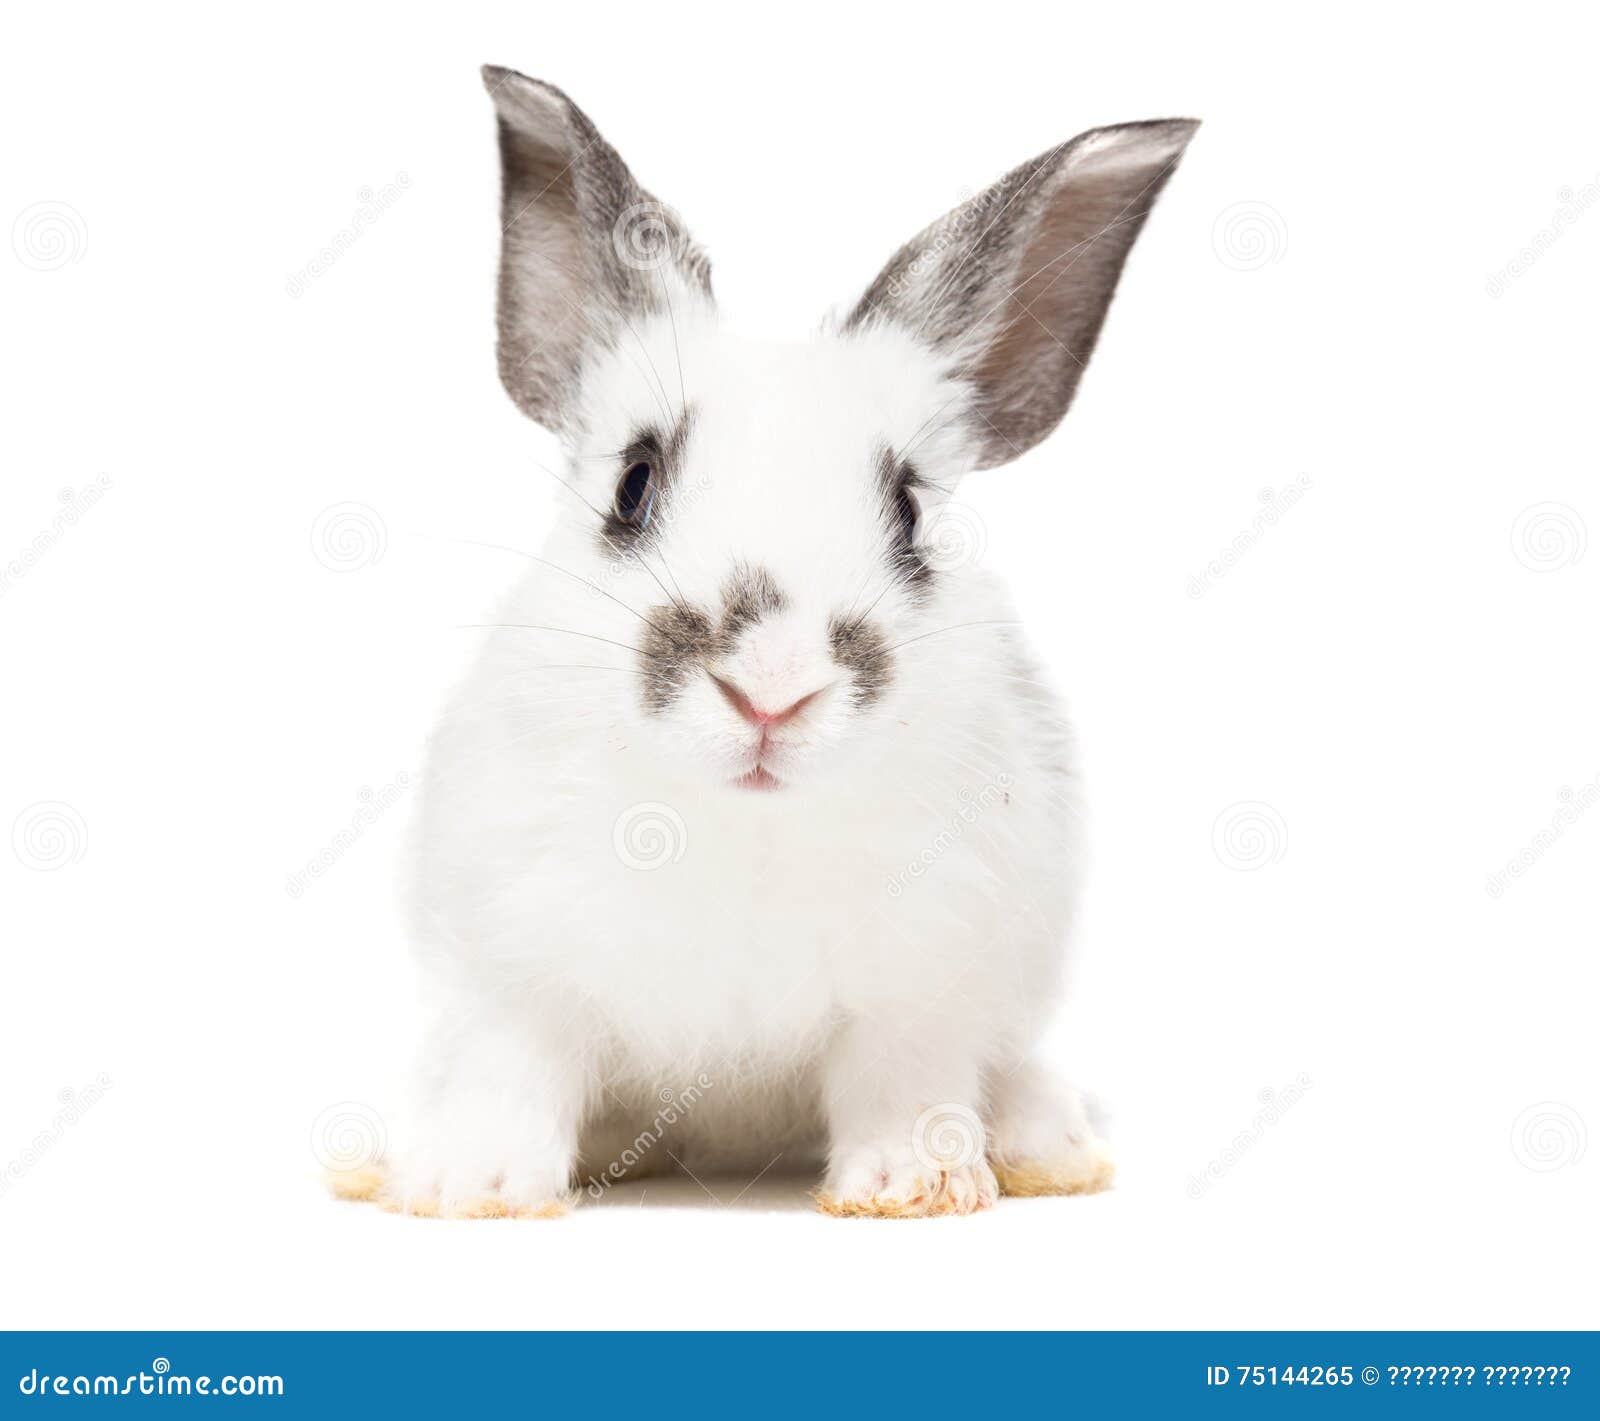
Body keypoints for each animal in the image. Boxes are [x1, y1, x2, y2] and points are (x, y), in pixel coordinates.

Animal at [335, 64, 1196, 1219]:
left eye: (910, 514)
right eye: (633, 484)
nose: (773, 686)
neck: (740, 830)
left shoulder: (925, 985)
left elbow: (904, 1077)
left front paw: (913, 1184)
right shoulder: (513, 971)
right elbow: (512, 1070)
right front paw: (471, 1184)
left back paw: (1046, 1149)